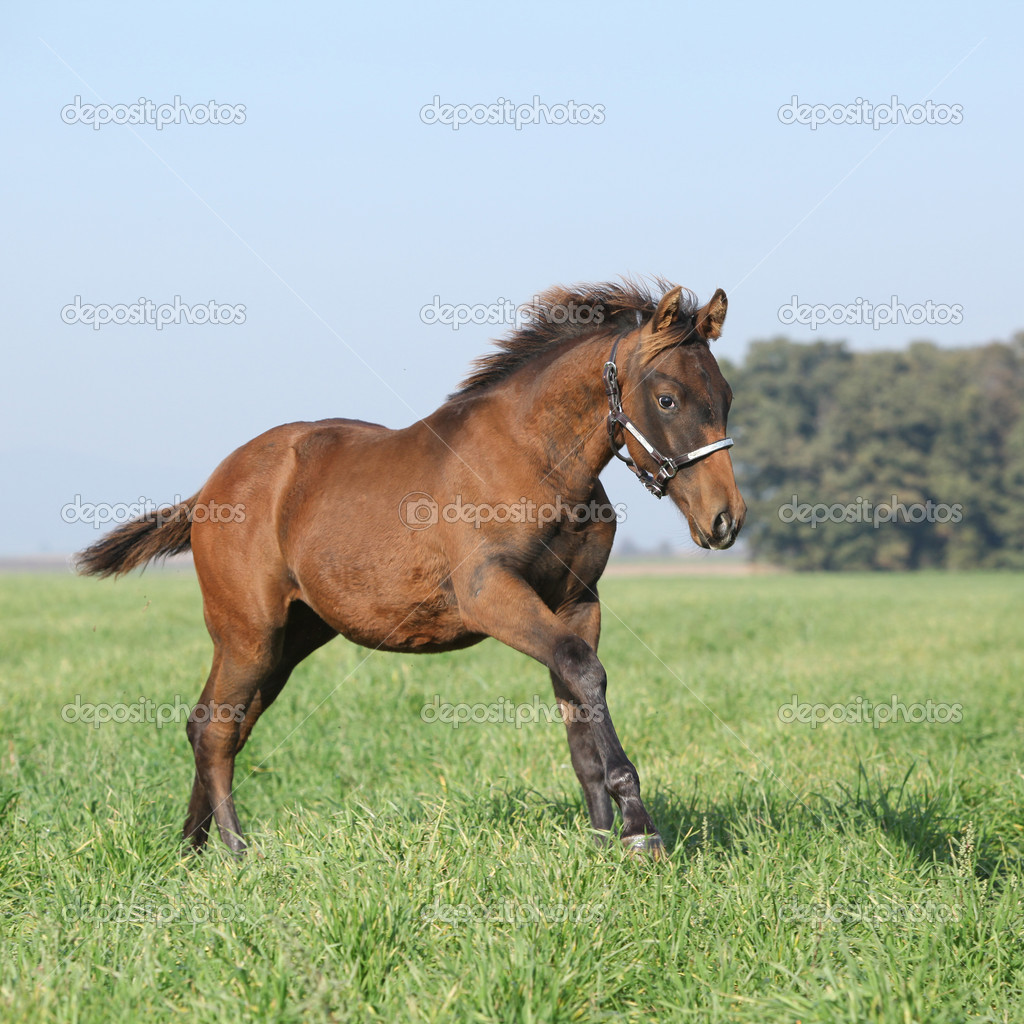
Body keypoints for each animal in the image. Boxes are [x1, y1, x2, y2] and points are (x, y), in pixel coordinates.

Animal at [77, 278, 745, 858]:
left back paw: (190, 849)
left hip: (291, 639)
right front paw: (639, 831)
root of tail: (210, 490)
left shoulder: (576, 603)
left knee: (212, 724)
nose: (725, 520)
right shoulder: (492, 595)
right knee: (217, 731)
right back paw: (237, 852)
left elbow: (580, 707)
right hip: (250, 634)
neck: (535, 461)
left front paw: (605, 842)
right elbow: (584, 672)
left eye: (726, 397)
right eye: (667, 398)